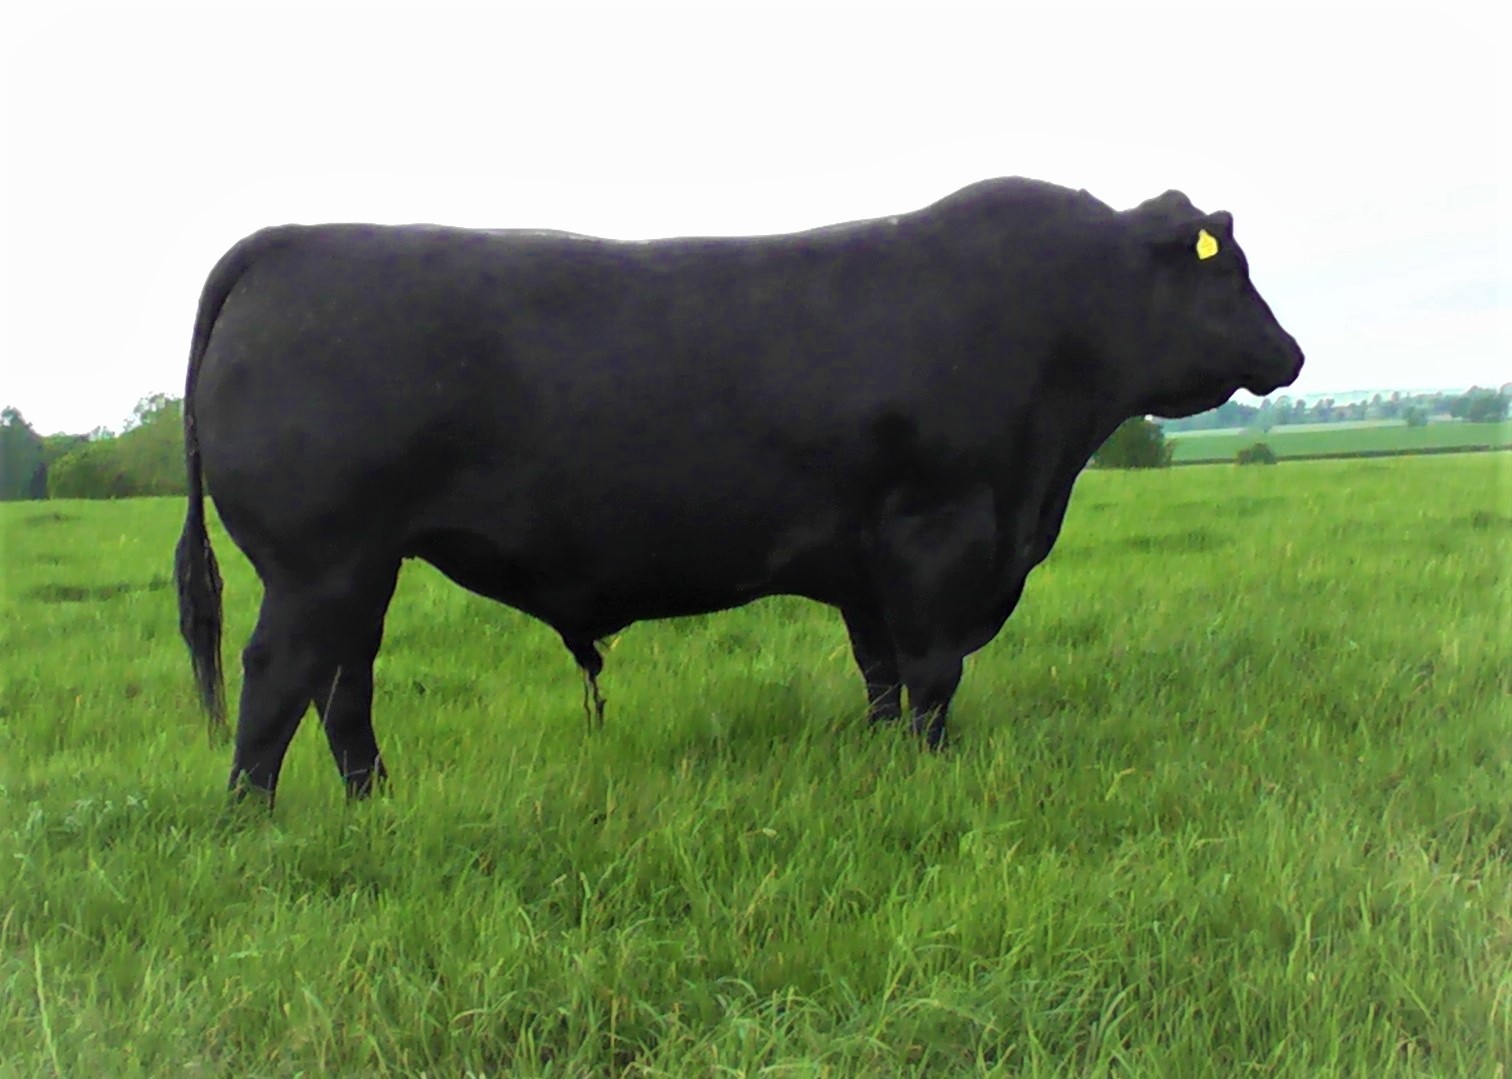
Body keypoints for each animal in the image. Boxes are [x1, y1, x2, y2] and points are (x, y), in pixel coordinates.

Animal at [175, 177, 1303, 803]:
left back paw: (376, 806)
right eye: (1228, 268)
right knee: (277, 682)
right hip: (318, 562)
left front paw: (882, 764)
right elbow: (933, 675)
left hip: (360, 566)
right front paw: (930, 775)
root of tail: (292, 239)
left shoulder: (865, 562)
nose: (1291, 352)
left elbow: (881, 676)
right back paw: (252, 823)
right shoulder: (937, 532)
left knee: (342, 689)